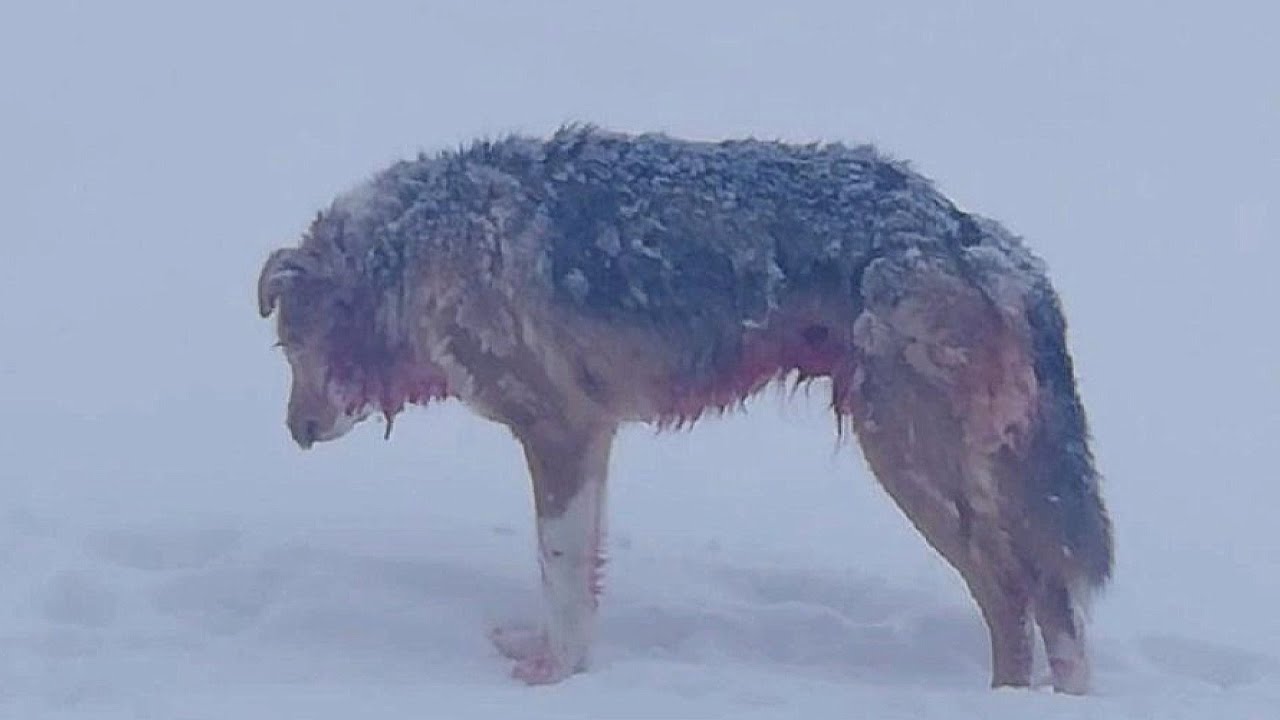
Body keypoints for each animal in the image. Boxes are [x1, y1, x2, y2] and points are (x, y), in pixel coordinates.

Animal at [257, 126, 1112, 693]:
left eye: (294, 345)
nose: (296, 434)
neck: (415, 246)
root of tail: (981, 239)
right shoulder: (589, 441)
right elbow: (581, 578)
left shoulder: (560, 432)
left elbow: (559, 571)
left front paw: (552, 675)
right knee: (1052, 599)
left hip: (909, 460)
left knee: (1018, 595)